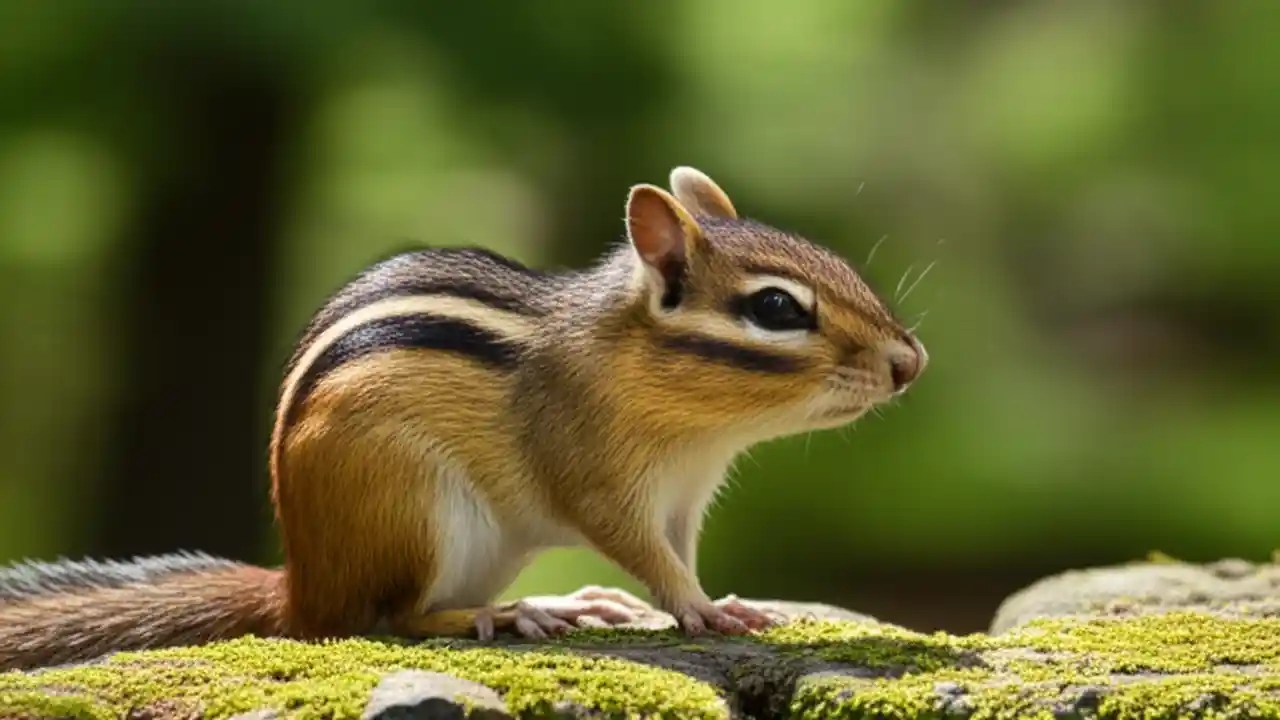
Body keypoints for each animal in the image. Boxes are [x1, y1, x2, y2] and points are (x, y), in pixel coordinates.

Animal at [0, 166, 926, 671]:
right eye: (776, 308)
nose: (910, 362)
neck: (699, 431)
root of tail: (300, 583)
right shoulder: (597, 474)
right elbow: (646, 554)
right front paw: (702, 611)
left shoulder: (685, 500)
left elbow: (680, 554)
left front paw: (714, 597)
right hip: (415, 507)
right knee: (385, 620)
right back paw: (502, 617)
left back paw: (567, 601)